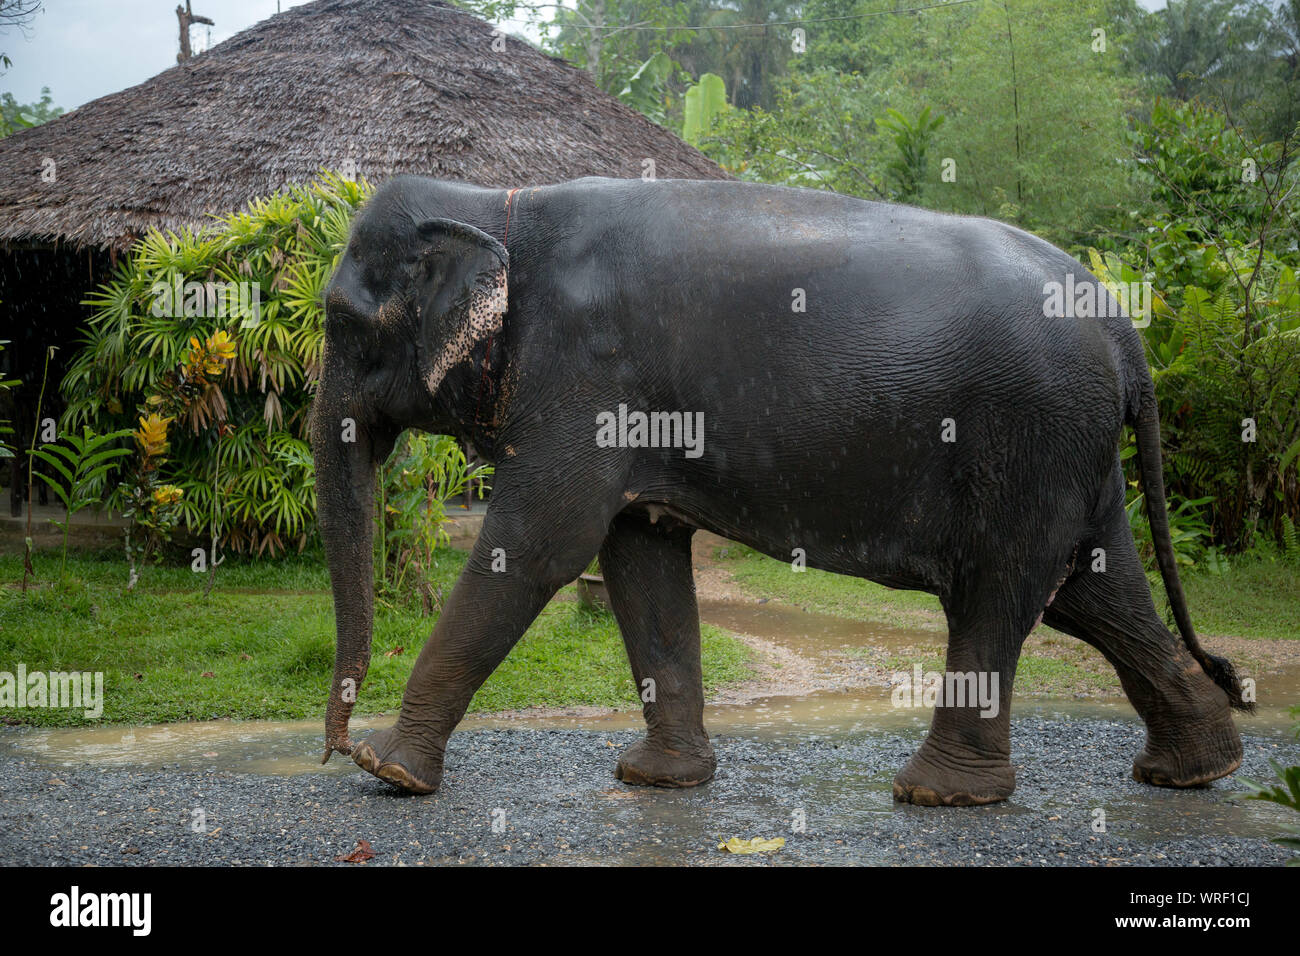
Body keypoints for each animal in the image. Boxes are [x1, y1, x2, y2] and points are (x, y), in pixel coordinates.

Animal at [312, 174, 1249, 805]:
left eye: (344, 324)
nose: (332, 750)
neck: (498, 201)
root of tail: (1124, 326)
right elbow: (639, 557)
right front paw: (659, 782)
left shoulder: (581, 376)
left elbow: (543, 543)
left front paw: (392, 771)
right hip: (1072, 456)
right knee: (1092, 592)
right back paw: (1195, 768)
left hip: (1031, 439)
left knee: (1003, 592)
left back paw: (938, 793)